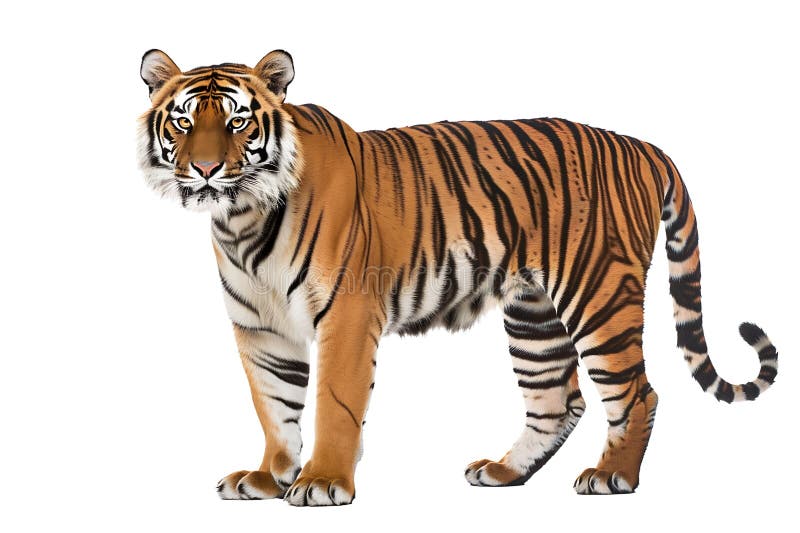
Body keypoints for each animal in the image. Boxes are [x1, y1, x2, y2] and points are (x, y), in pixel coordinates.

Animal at [137, 49, 779, 506]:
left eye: (239, 123)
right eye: (184, 122)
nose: (205, 168)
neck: (242, 219)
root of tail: (642, 145)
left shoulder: (346, 314)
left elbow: (332, 403)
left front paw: (321, 482)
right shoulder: (261, 330)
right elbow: (274, 405)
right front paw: (270, 478)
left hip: (600, 296)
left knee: (636, 392)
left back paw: (610, 476)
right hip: (534, 315)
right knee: (557, 400)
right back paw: (503, 471)